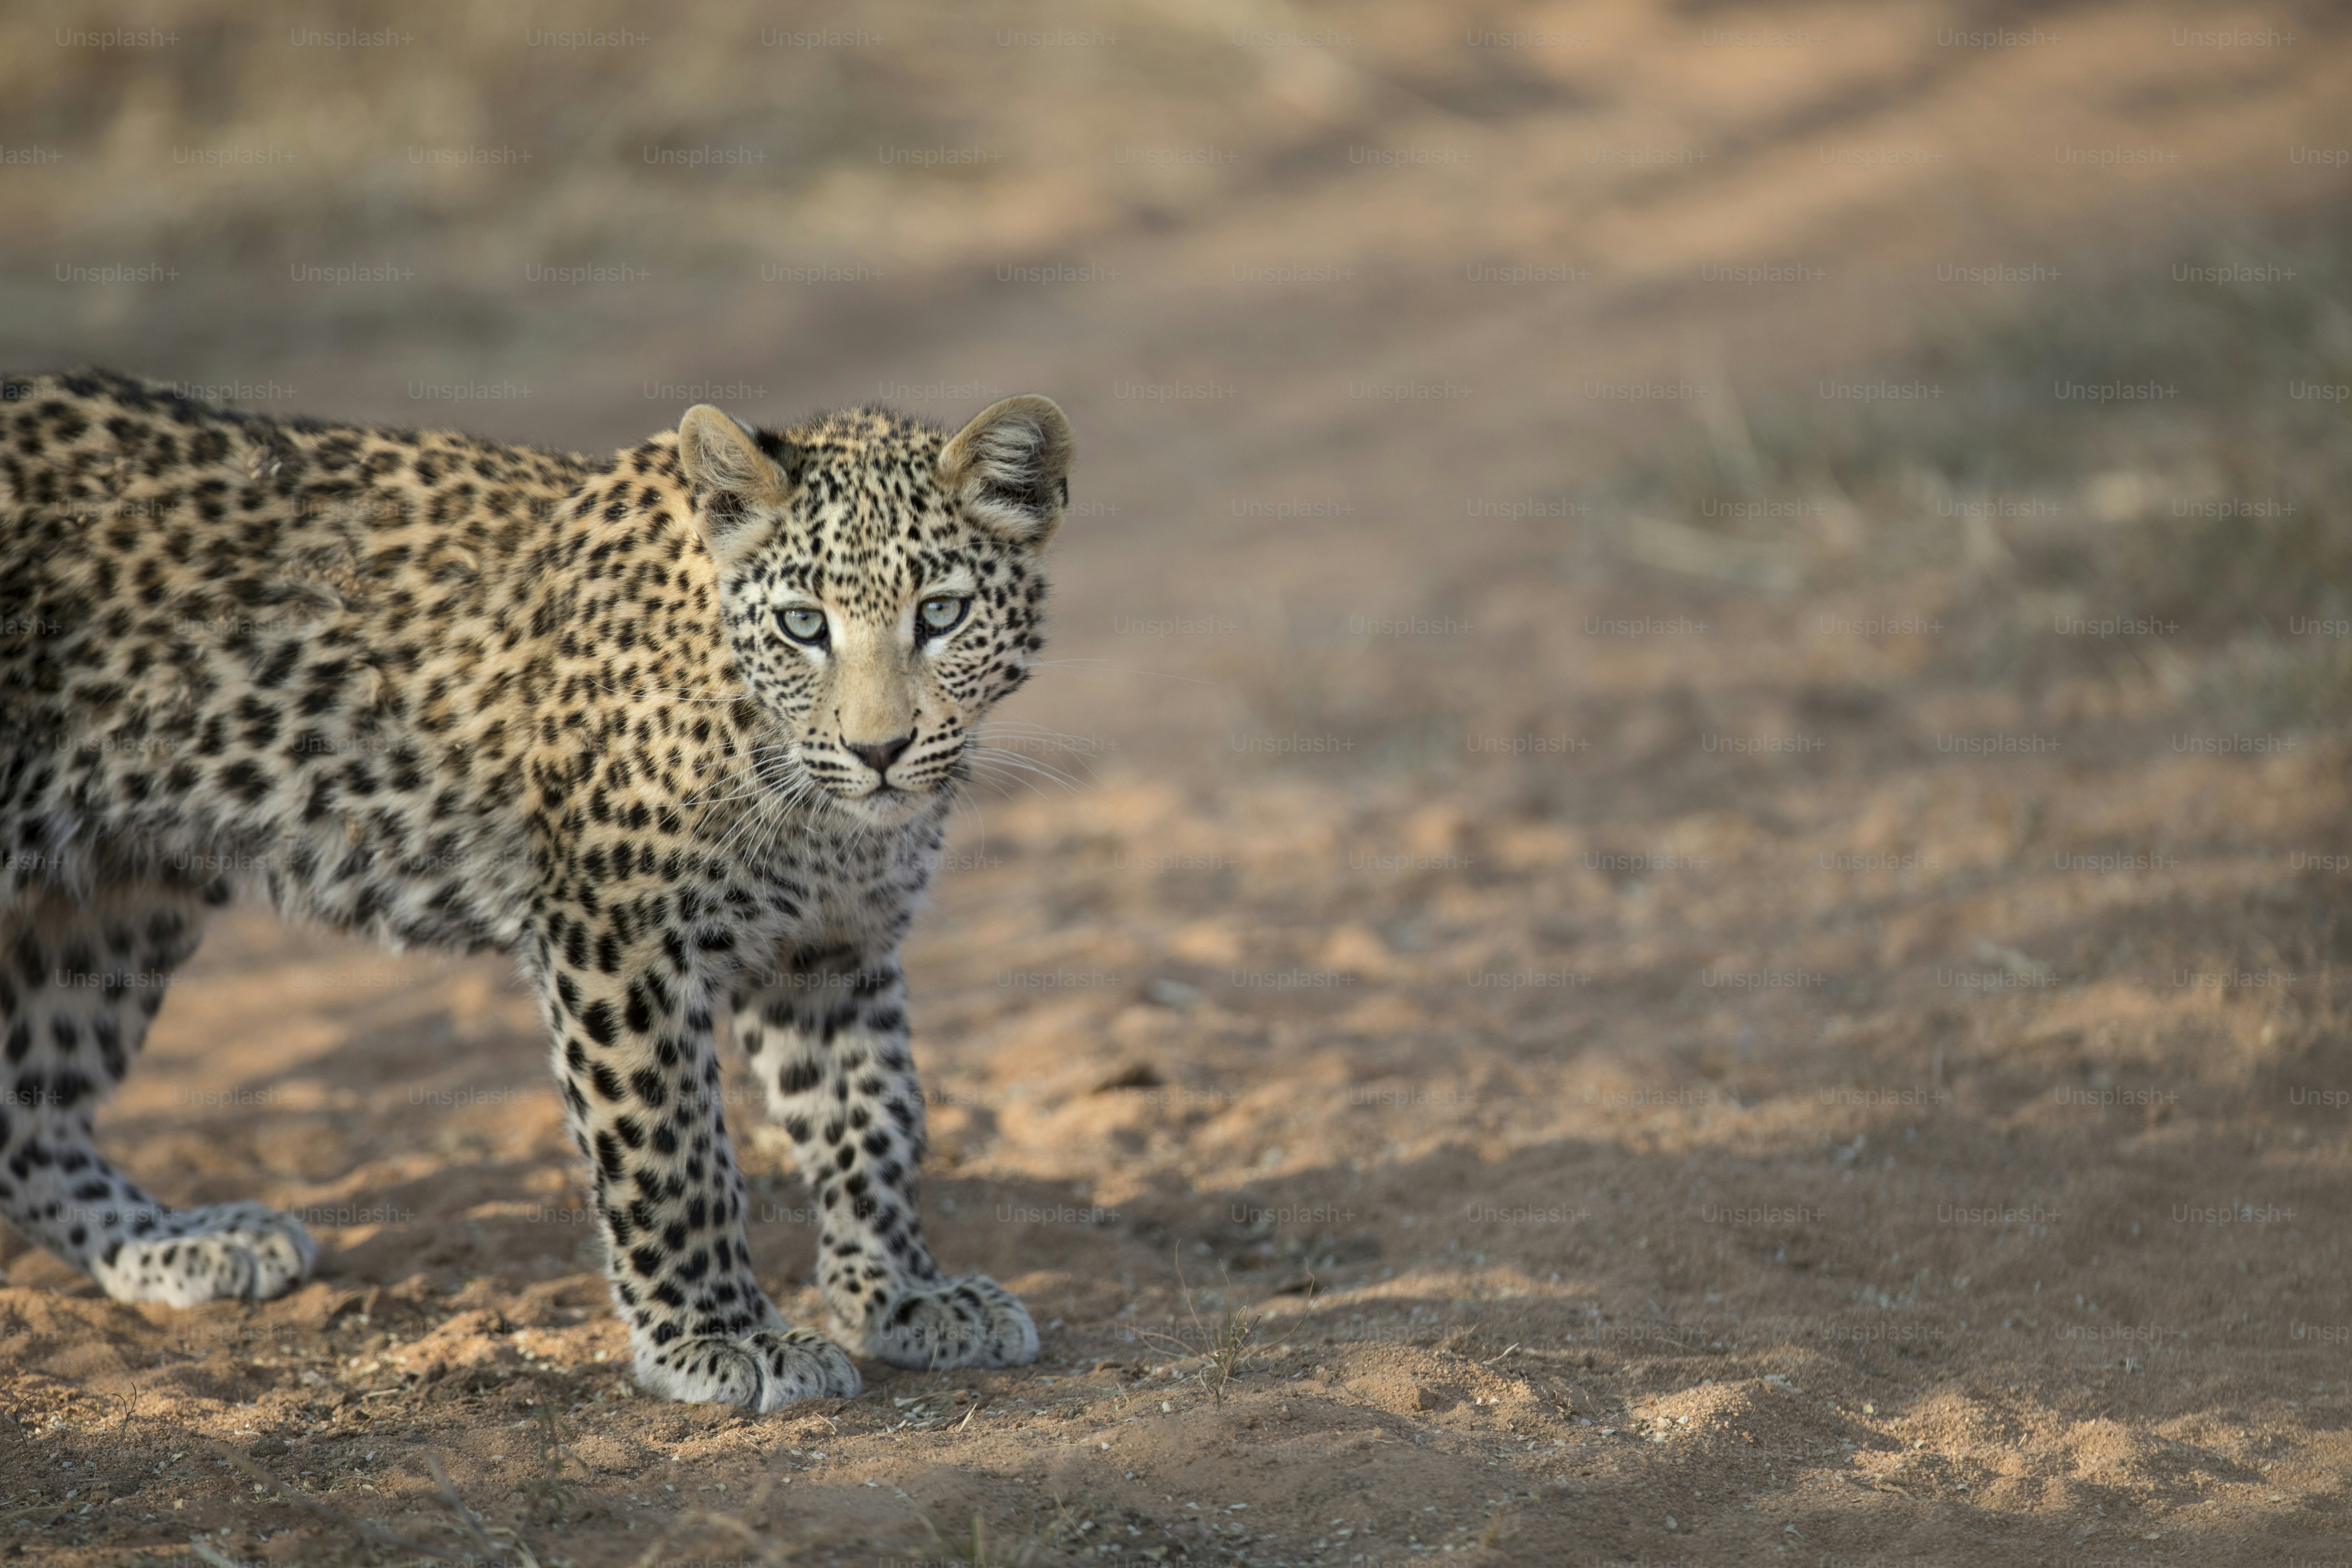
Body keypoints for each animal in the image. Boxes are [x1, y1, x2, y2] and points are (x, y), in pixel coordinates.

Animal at [0, 368, 1076, 1409]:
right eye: (804, 626)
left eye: (941, 615)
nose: (878, 751)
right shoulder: (618, 938)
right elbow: (670, 1148)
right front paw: (719, 1337)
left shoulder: (833, 949)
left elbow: (874, 1117)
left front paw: (901, 1294)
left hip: (113, 896)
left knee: (27, 1112)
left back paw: (176, 1246)